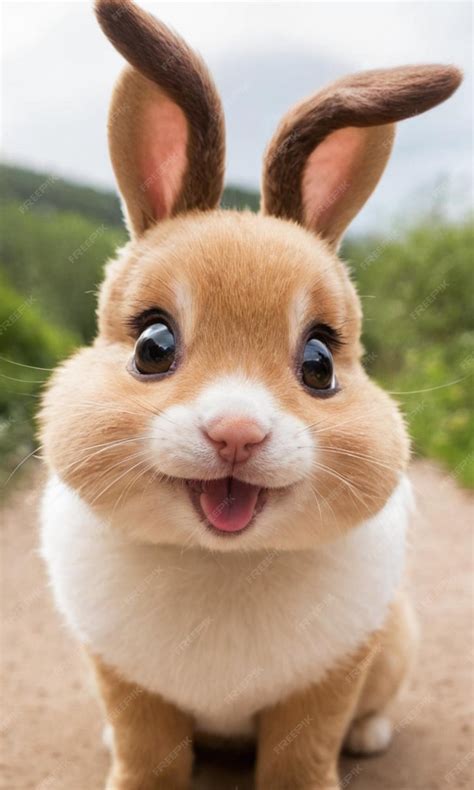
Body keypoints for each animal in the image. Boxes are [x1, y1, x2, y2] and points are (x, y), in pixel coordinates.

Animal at [39, 1, 462, 788]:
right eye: (152, 347)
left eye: (321, 363)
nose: (236, 432)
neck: (222, 560)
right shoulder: (127, 686)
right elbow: (147, 749)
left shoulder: (327, 686)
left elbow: (303, 751)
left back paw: (372, 738)